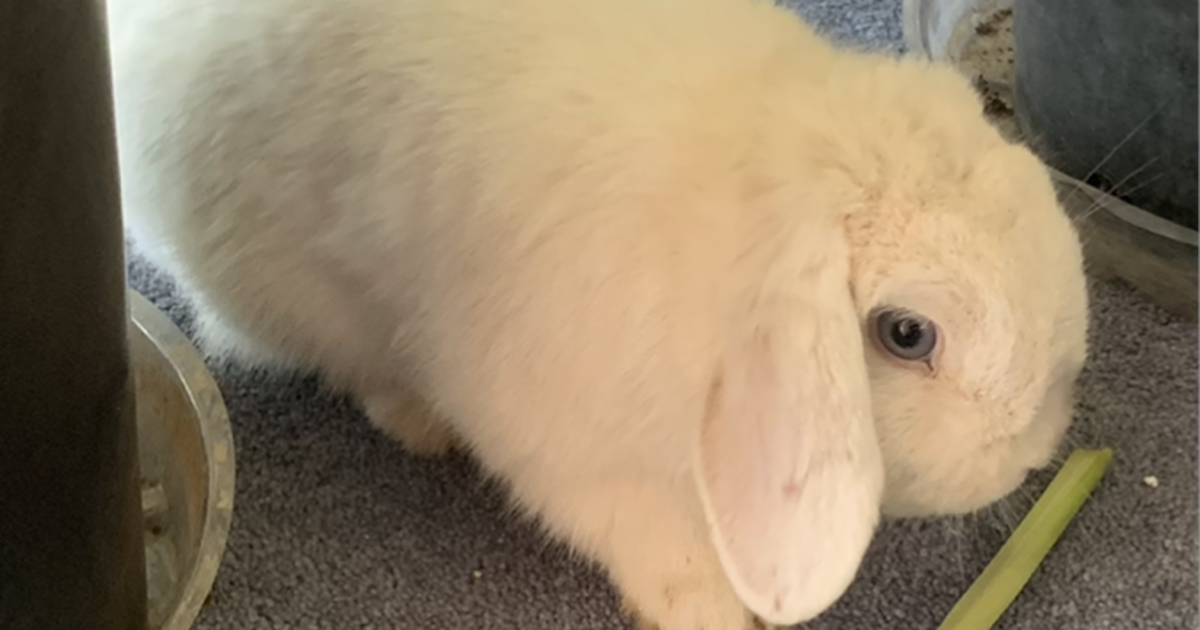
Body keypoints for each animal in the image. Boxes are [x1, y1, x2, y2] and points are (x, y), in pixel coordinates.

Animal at [105, 0, 1091, 627]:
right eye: (906, 335)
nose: (1036, 449)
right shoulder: (579, 461)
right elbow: (660, 553)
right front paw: (711, 616)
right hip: (289, 296)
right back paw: (418, 422)